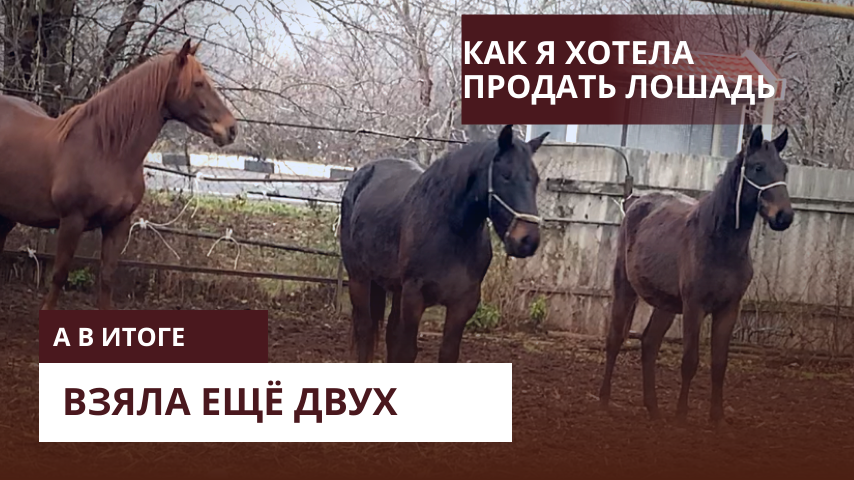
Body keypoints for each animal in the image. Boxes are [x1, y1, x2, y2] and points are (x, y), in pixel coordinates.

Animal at [0, 39, 237, 310]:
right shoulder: (72, 220)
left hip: (7, 214)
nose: (231, 129)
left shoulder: (118, 224)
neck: (107, 150)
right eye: (198, 83)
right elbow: (59, 275)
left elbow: (106, 279)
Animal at [339, 125, 549, 363]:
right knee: (365, 329)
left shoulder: (463, 304)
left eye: (536, 180)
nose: (527, 240)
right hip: (359, 278)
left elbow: (446, 353)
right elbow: (406, 352)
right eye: (505, 176)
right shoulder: (414, 297)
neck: (451, 231)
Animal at [598, 125, 794, 425]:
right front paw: (681, 416)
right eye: (758, 167)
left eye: (784, 169)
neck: (719, 243)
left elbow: (719, 364)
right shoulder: (695, 307)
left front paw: (717, 419)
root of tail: (633, 203)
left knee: (649, 344)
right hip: (625, 289)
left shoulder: (728, 309)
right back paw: (605, 401)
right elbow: (690, 361)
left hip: (666, 305)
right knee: (615, 339)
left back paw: (653, 409)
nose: (784, 216)